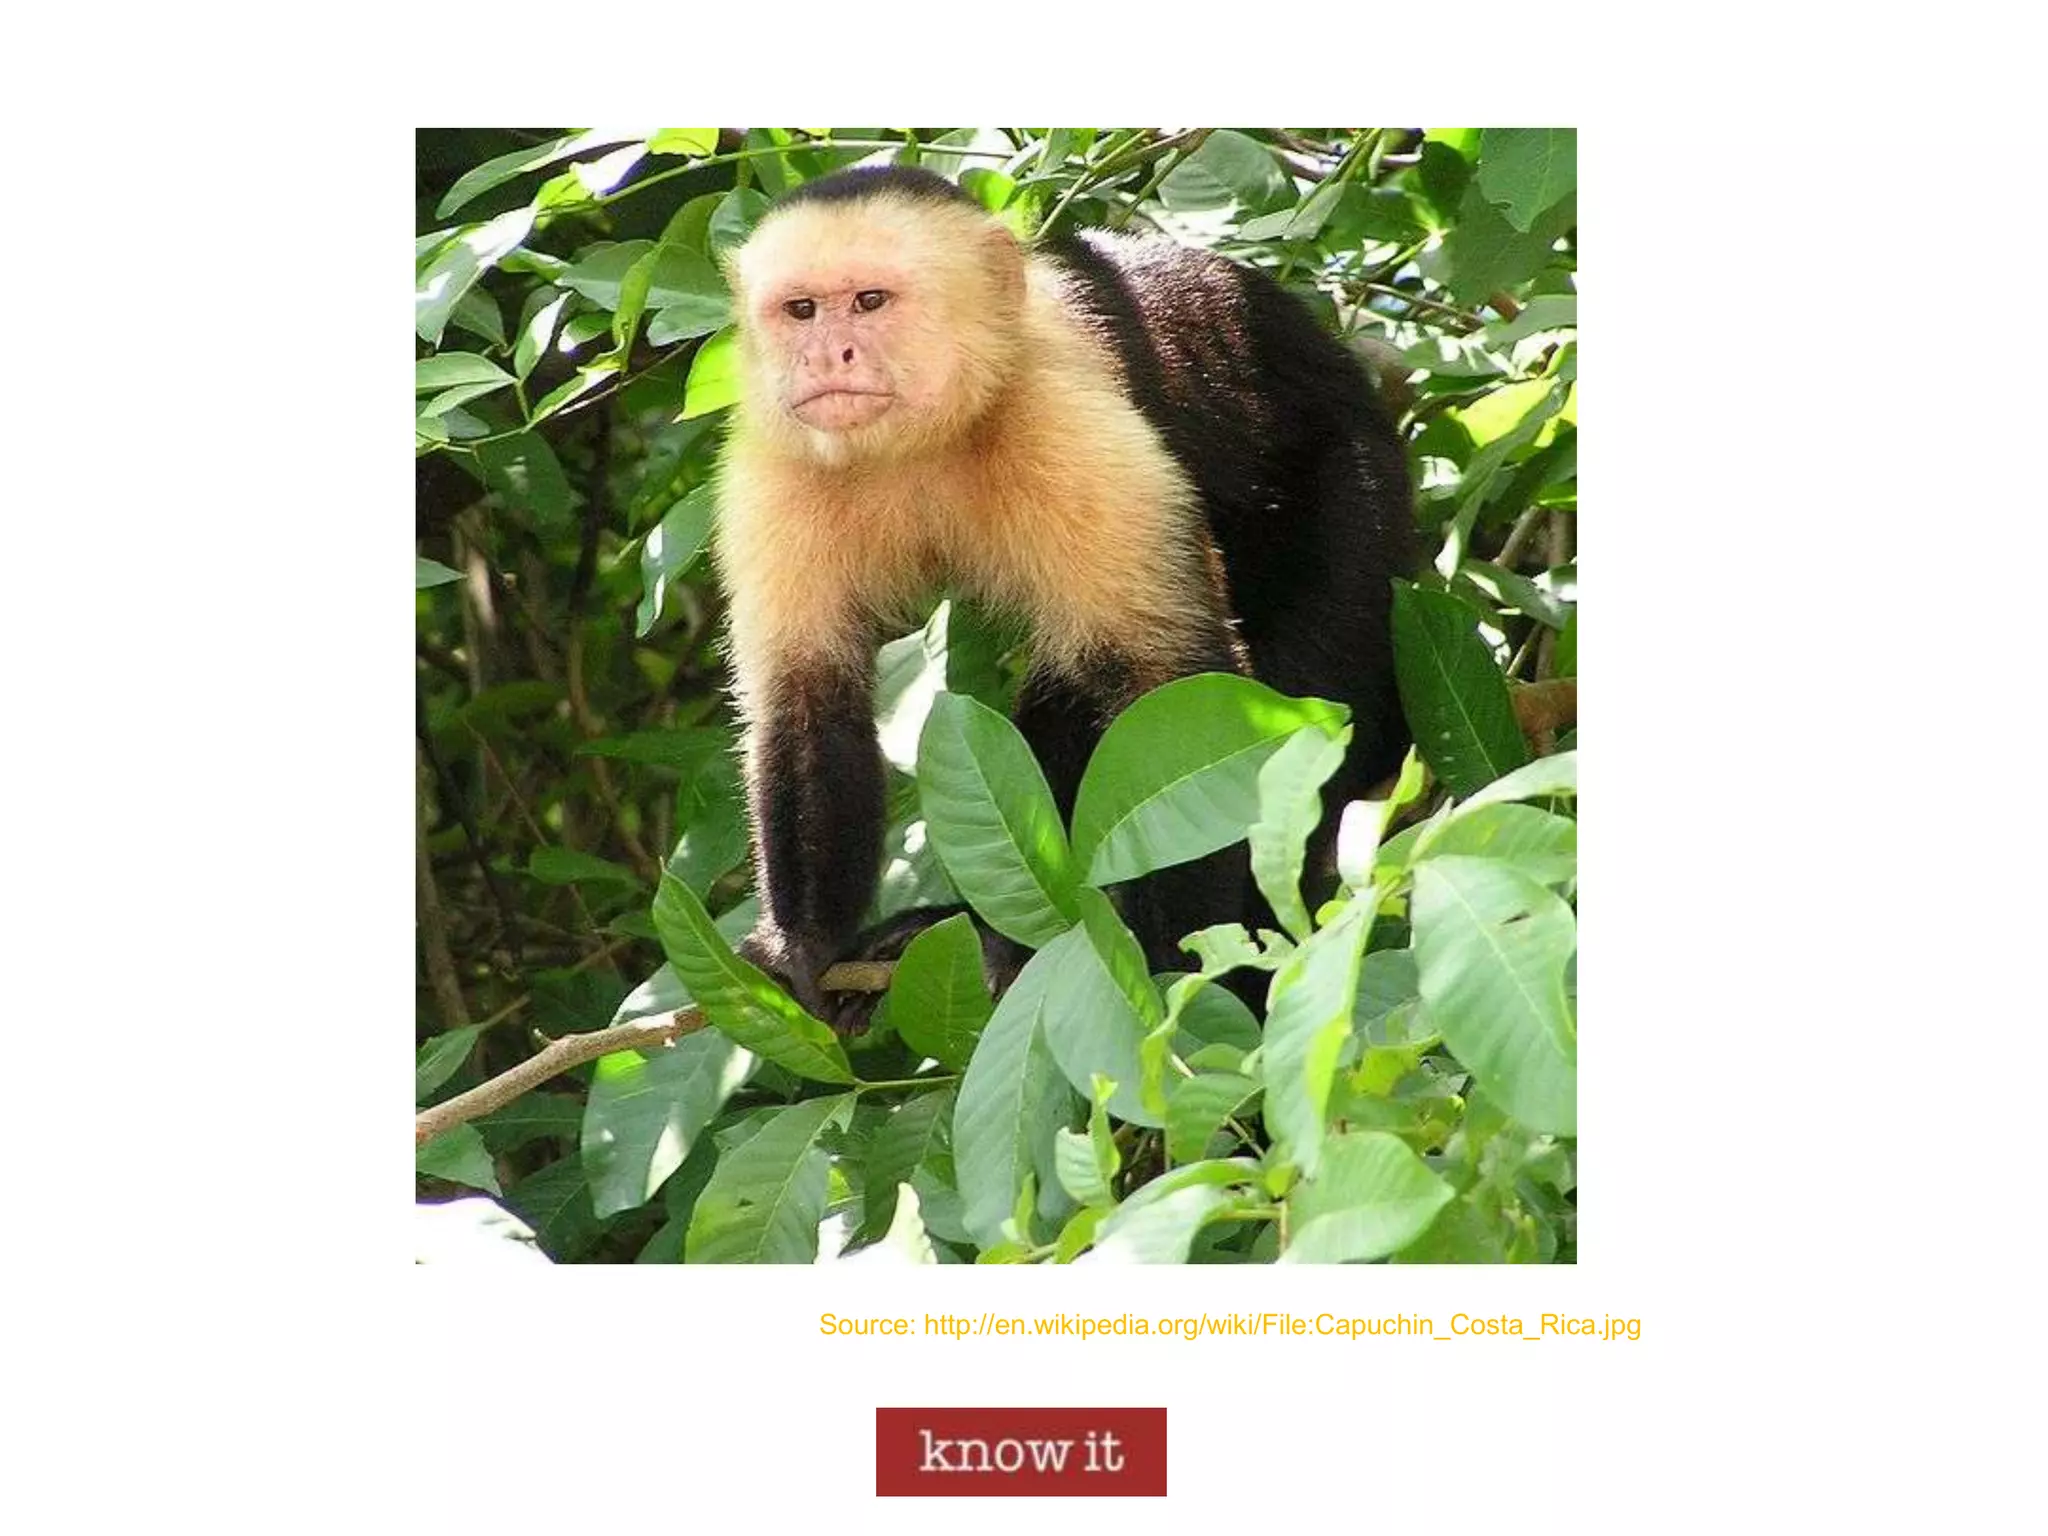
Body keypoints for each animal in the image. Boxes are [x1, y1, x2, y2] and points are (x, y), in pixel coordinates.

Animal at [712, 164, 1415, 1017]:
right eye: (802, 310)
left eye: (870, 301)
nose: (827, 356)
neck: (923, 441)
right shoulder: (777, 461)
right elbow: (806, 693)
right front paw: (805, 946)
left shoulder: (1066, 427)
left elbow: (1172, 691)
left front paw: (1167, 979)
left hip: (1355, 491)